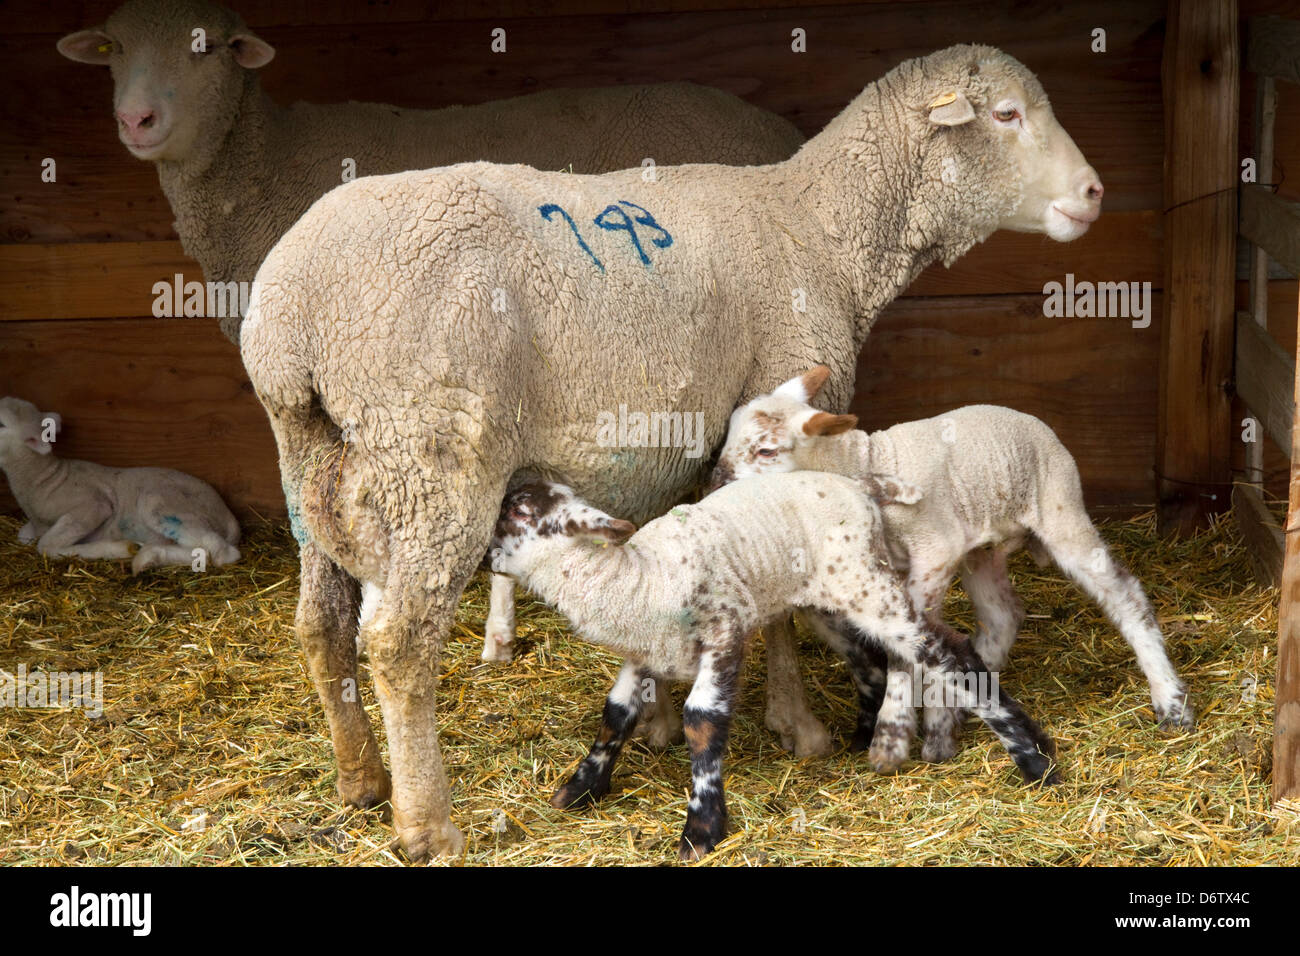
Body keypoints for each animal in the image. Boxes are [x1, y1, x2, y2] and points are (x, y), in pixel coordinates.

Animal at [0, 397, 241, 574]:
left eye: (2, 424)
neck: (42, 479)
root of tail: (229, 517)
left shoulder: (92, 506)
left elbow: (46, 546)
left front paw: (118, 548)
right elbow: (25, 536)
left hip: (162, 501)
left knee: (221, 551)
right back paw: (148, 558)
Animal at [488, 475, 1059, 860]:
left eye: (516, 514)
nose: (486, 558)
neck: (638, 578)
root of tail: (860, 488)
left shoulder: (723, 635)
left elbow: (701, 721)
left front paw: (701, 830)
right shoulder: (645, 654)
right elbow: (615, 716)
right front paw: (579, 789)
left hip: (869, 588)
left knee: (950, 652)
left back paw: (1032, 758)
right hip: (831, 600)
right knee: (871, 660)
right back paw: (865, 734)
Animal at [708, 367, 1194, 773]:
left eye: (767, 450)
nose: (716, 482)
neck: (863, 463)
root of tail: (1036, 424)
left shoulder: (933, 552)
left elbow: (906, 651)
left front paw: (892, 741)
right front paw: (937, 723)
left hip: (1060, 508)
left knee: (1125, 595)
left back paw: (1171, 703)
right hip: (983, 546)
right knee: (1002, 615)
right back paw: (966, 701)